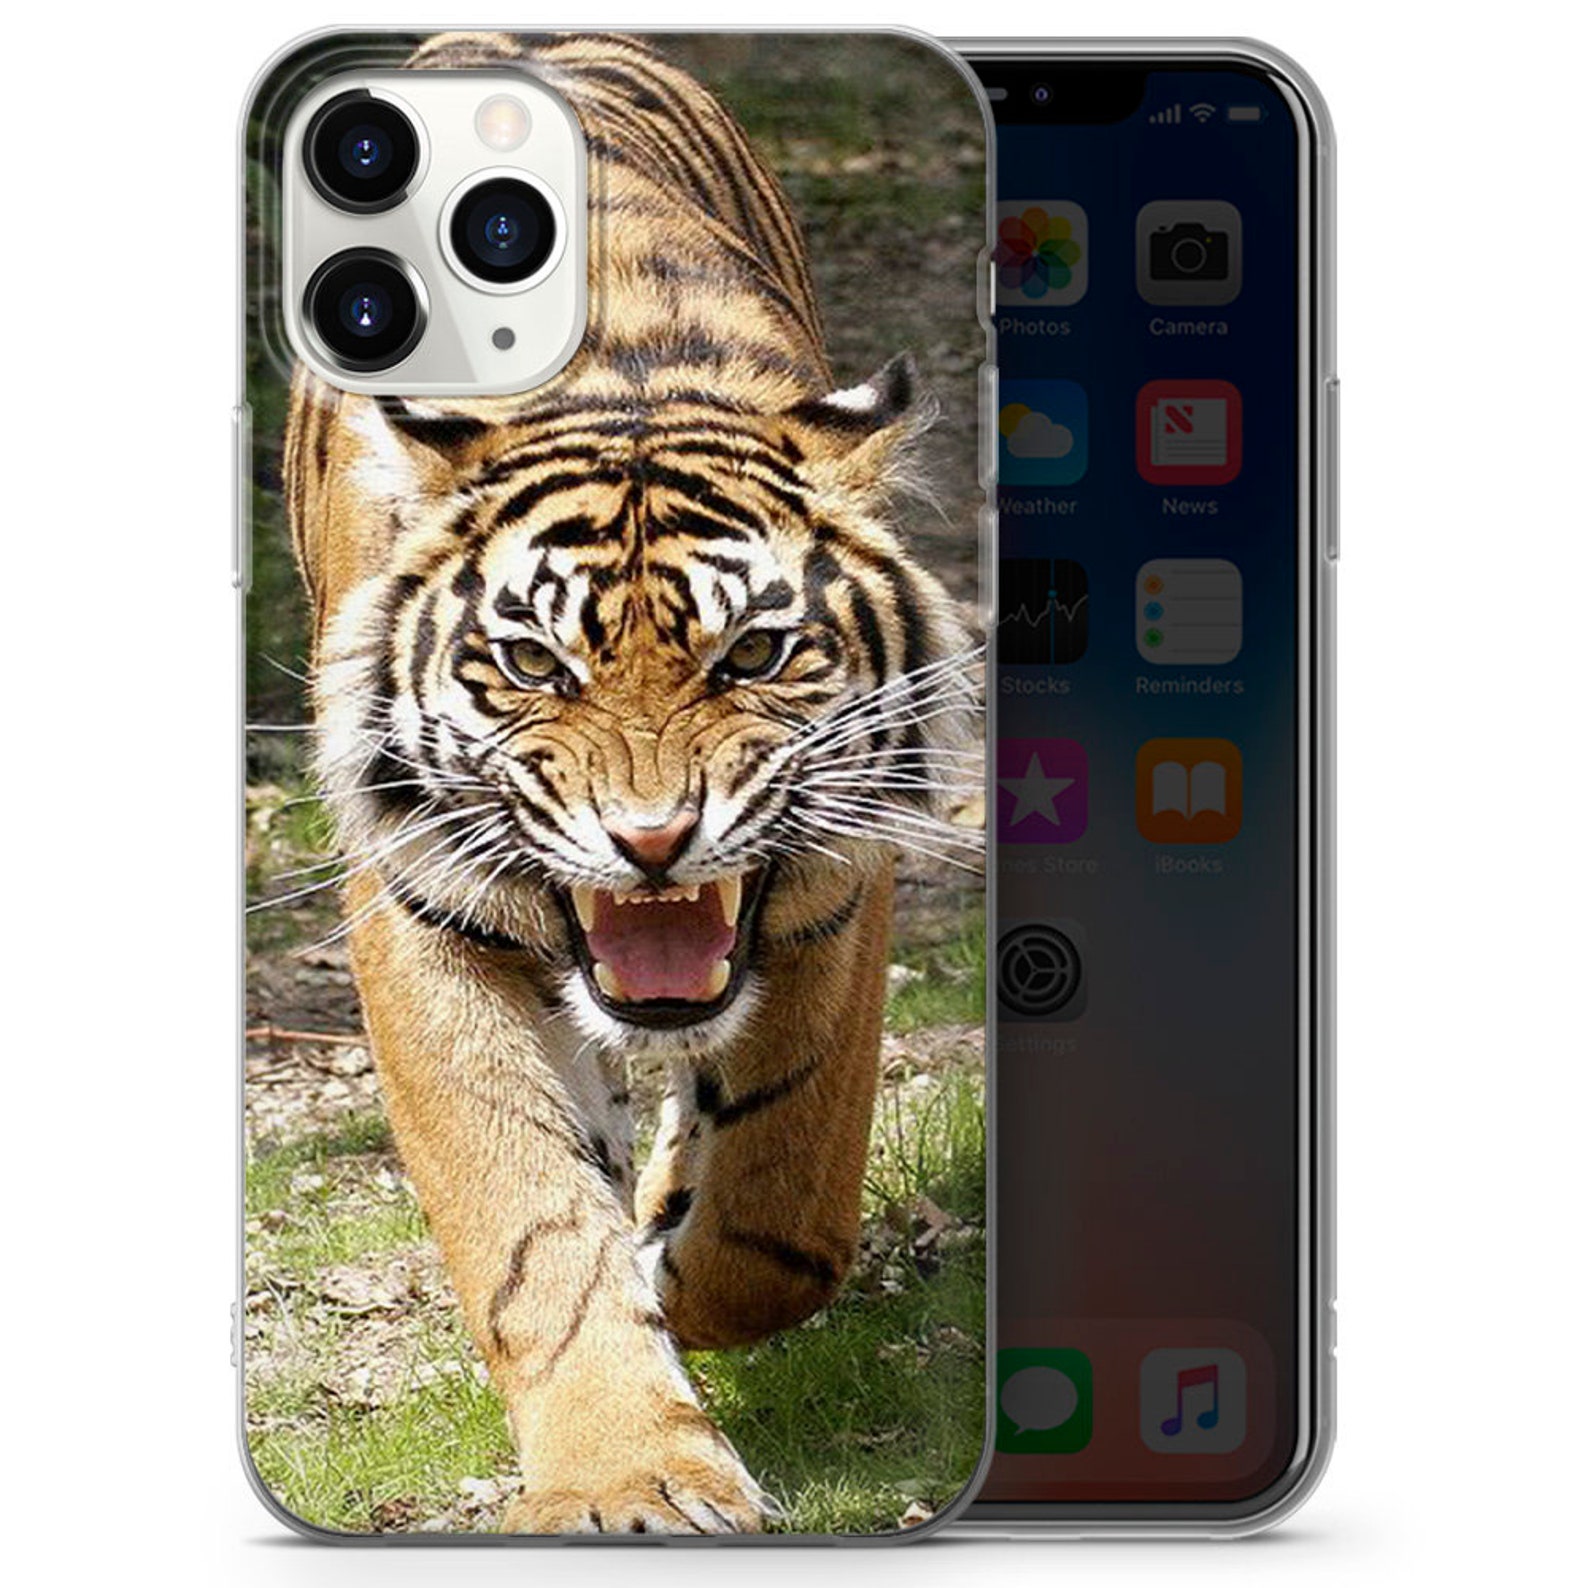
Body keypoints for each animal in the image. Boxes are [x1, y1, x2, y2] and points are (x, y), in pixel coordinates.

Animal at [284, 31, 981, 1533]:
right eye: (533, 662)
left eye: (755, 652)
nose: (654, 840)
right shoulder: (417, 909)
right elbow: (531, 1224)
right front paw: (627, 1478)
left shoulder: (838, 886)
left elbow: (781, 1205)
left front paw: (679, 1256)